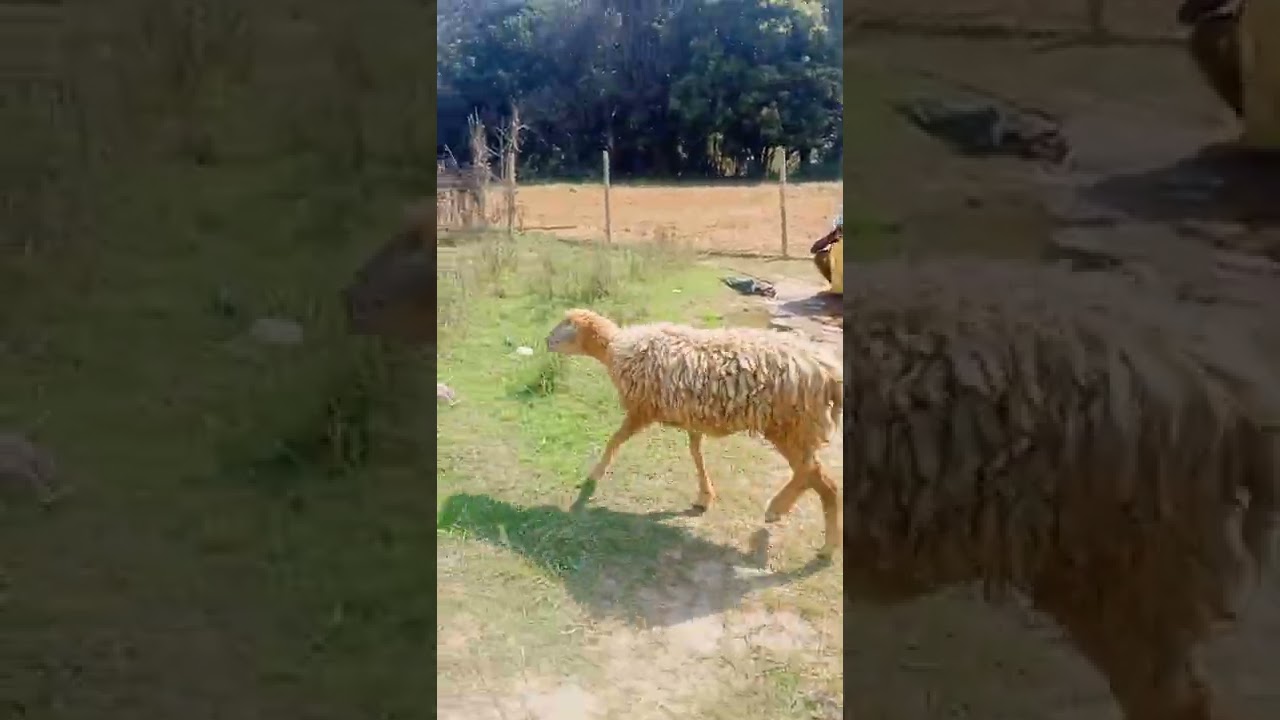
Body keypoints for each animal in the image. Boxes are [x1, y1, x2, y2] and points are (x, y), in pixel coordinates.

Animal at [544, 308, 844, 559]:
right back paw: (816, 537)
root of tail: (829, 373)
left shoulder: (642, 410)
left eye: (565, 323)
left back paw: (787, 517)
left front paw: (594, 475)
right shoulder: (692, 418)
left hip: (789, 424)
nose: (547, 340)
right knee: (818, 478)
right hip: (794, 427)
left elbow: (615, 439)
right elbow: (695, 452)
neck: (615, 348)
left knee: (815, 476)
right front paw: (705, 495)